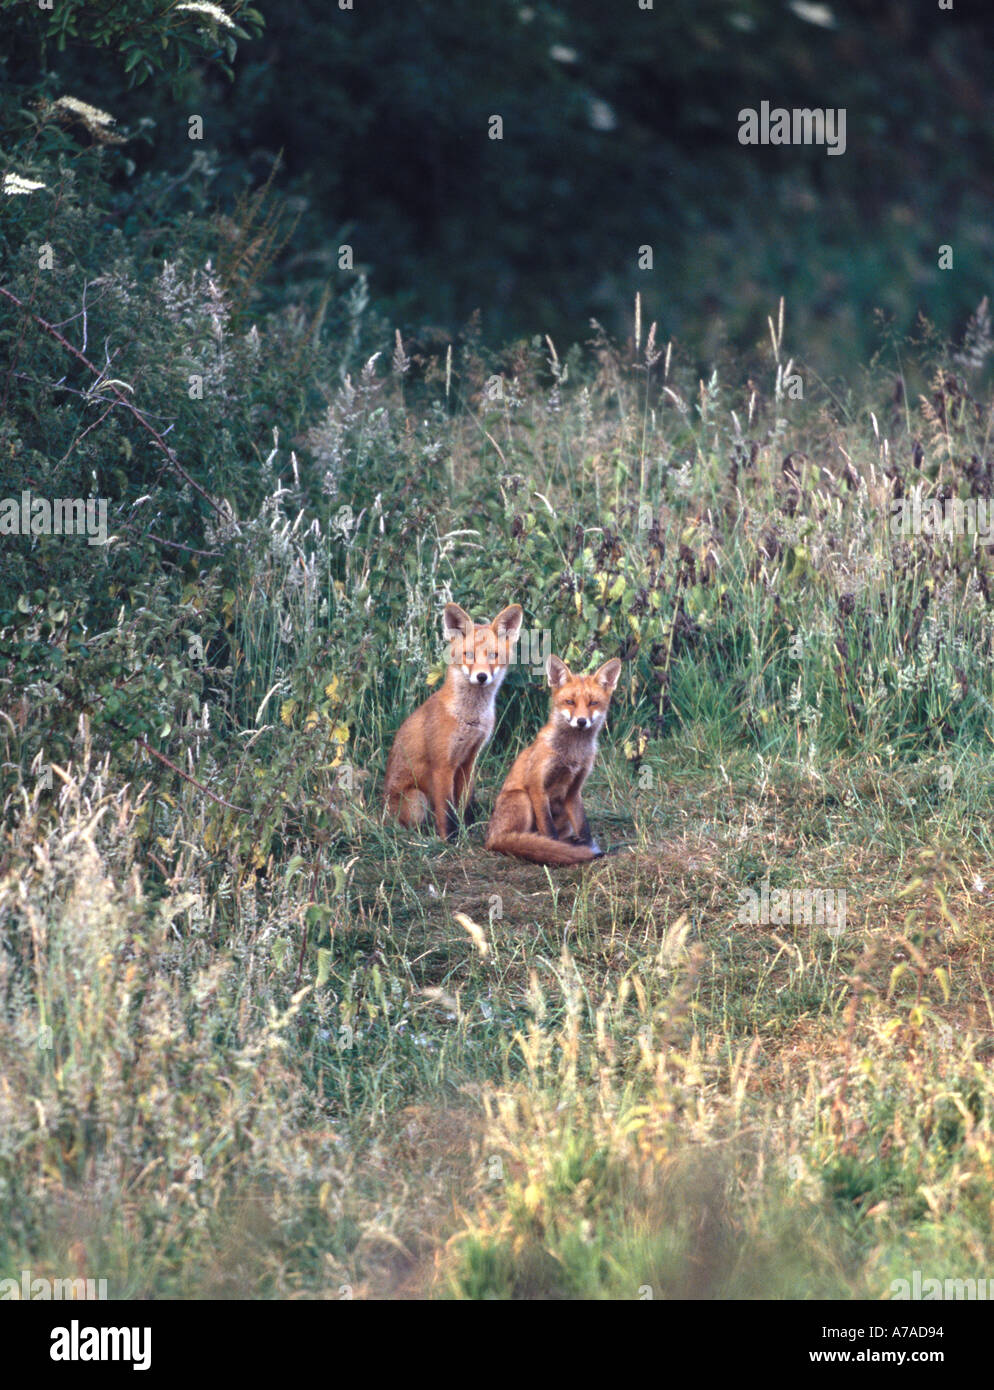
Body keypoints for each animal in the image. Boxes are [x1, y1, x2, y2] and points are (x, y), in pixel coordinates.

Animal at [384, 601, 524, 840]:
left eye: (494, 655)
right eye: (469, 654)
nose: (481, 677)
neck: (469, 719)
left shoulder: (468, 761)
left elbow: (463, 804)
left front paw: (466, 829)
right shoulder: (443, 765)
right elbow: (445, 811)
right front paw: (448, 839)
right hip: (417, 800)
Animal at [485, 653, 622, 866]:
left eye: (593, 703)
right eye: (570, 702)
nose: (581, 721)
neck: (572, 753)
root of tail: (490, 838)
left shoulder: (574, 790)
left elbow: (584, 826)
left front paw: (587, 846)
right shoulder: (537, 786)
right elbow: (548, 830)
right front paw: (556, 850)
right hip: (522, 798)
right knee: (514, 839)